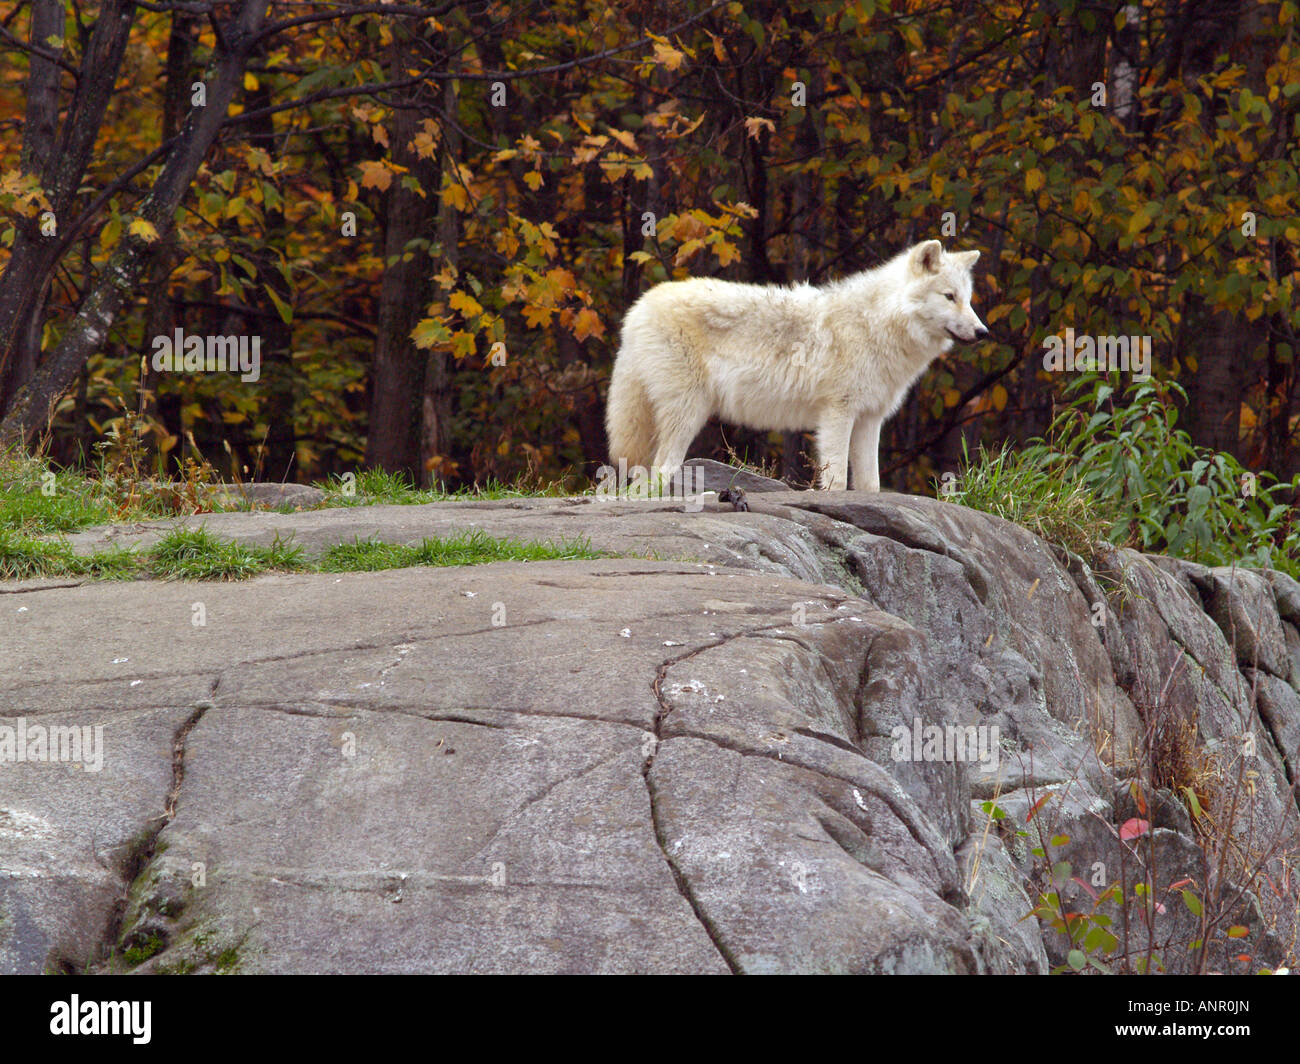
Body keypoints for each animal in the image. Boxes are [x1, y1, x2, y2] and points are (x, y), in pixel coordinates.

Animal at [605, 240, 987, 491]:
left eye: (968, 300)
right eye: (949, 297)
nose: (983, 332)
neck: (876, 323)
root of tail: (639, 306)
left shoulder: (869, 419)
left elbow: (870, 486)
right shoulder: (837, 414)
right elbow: (836, 481)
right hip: (688, 413)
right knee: (660, 469)